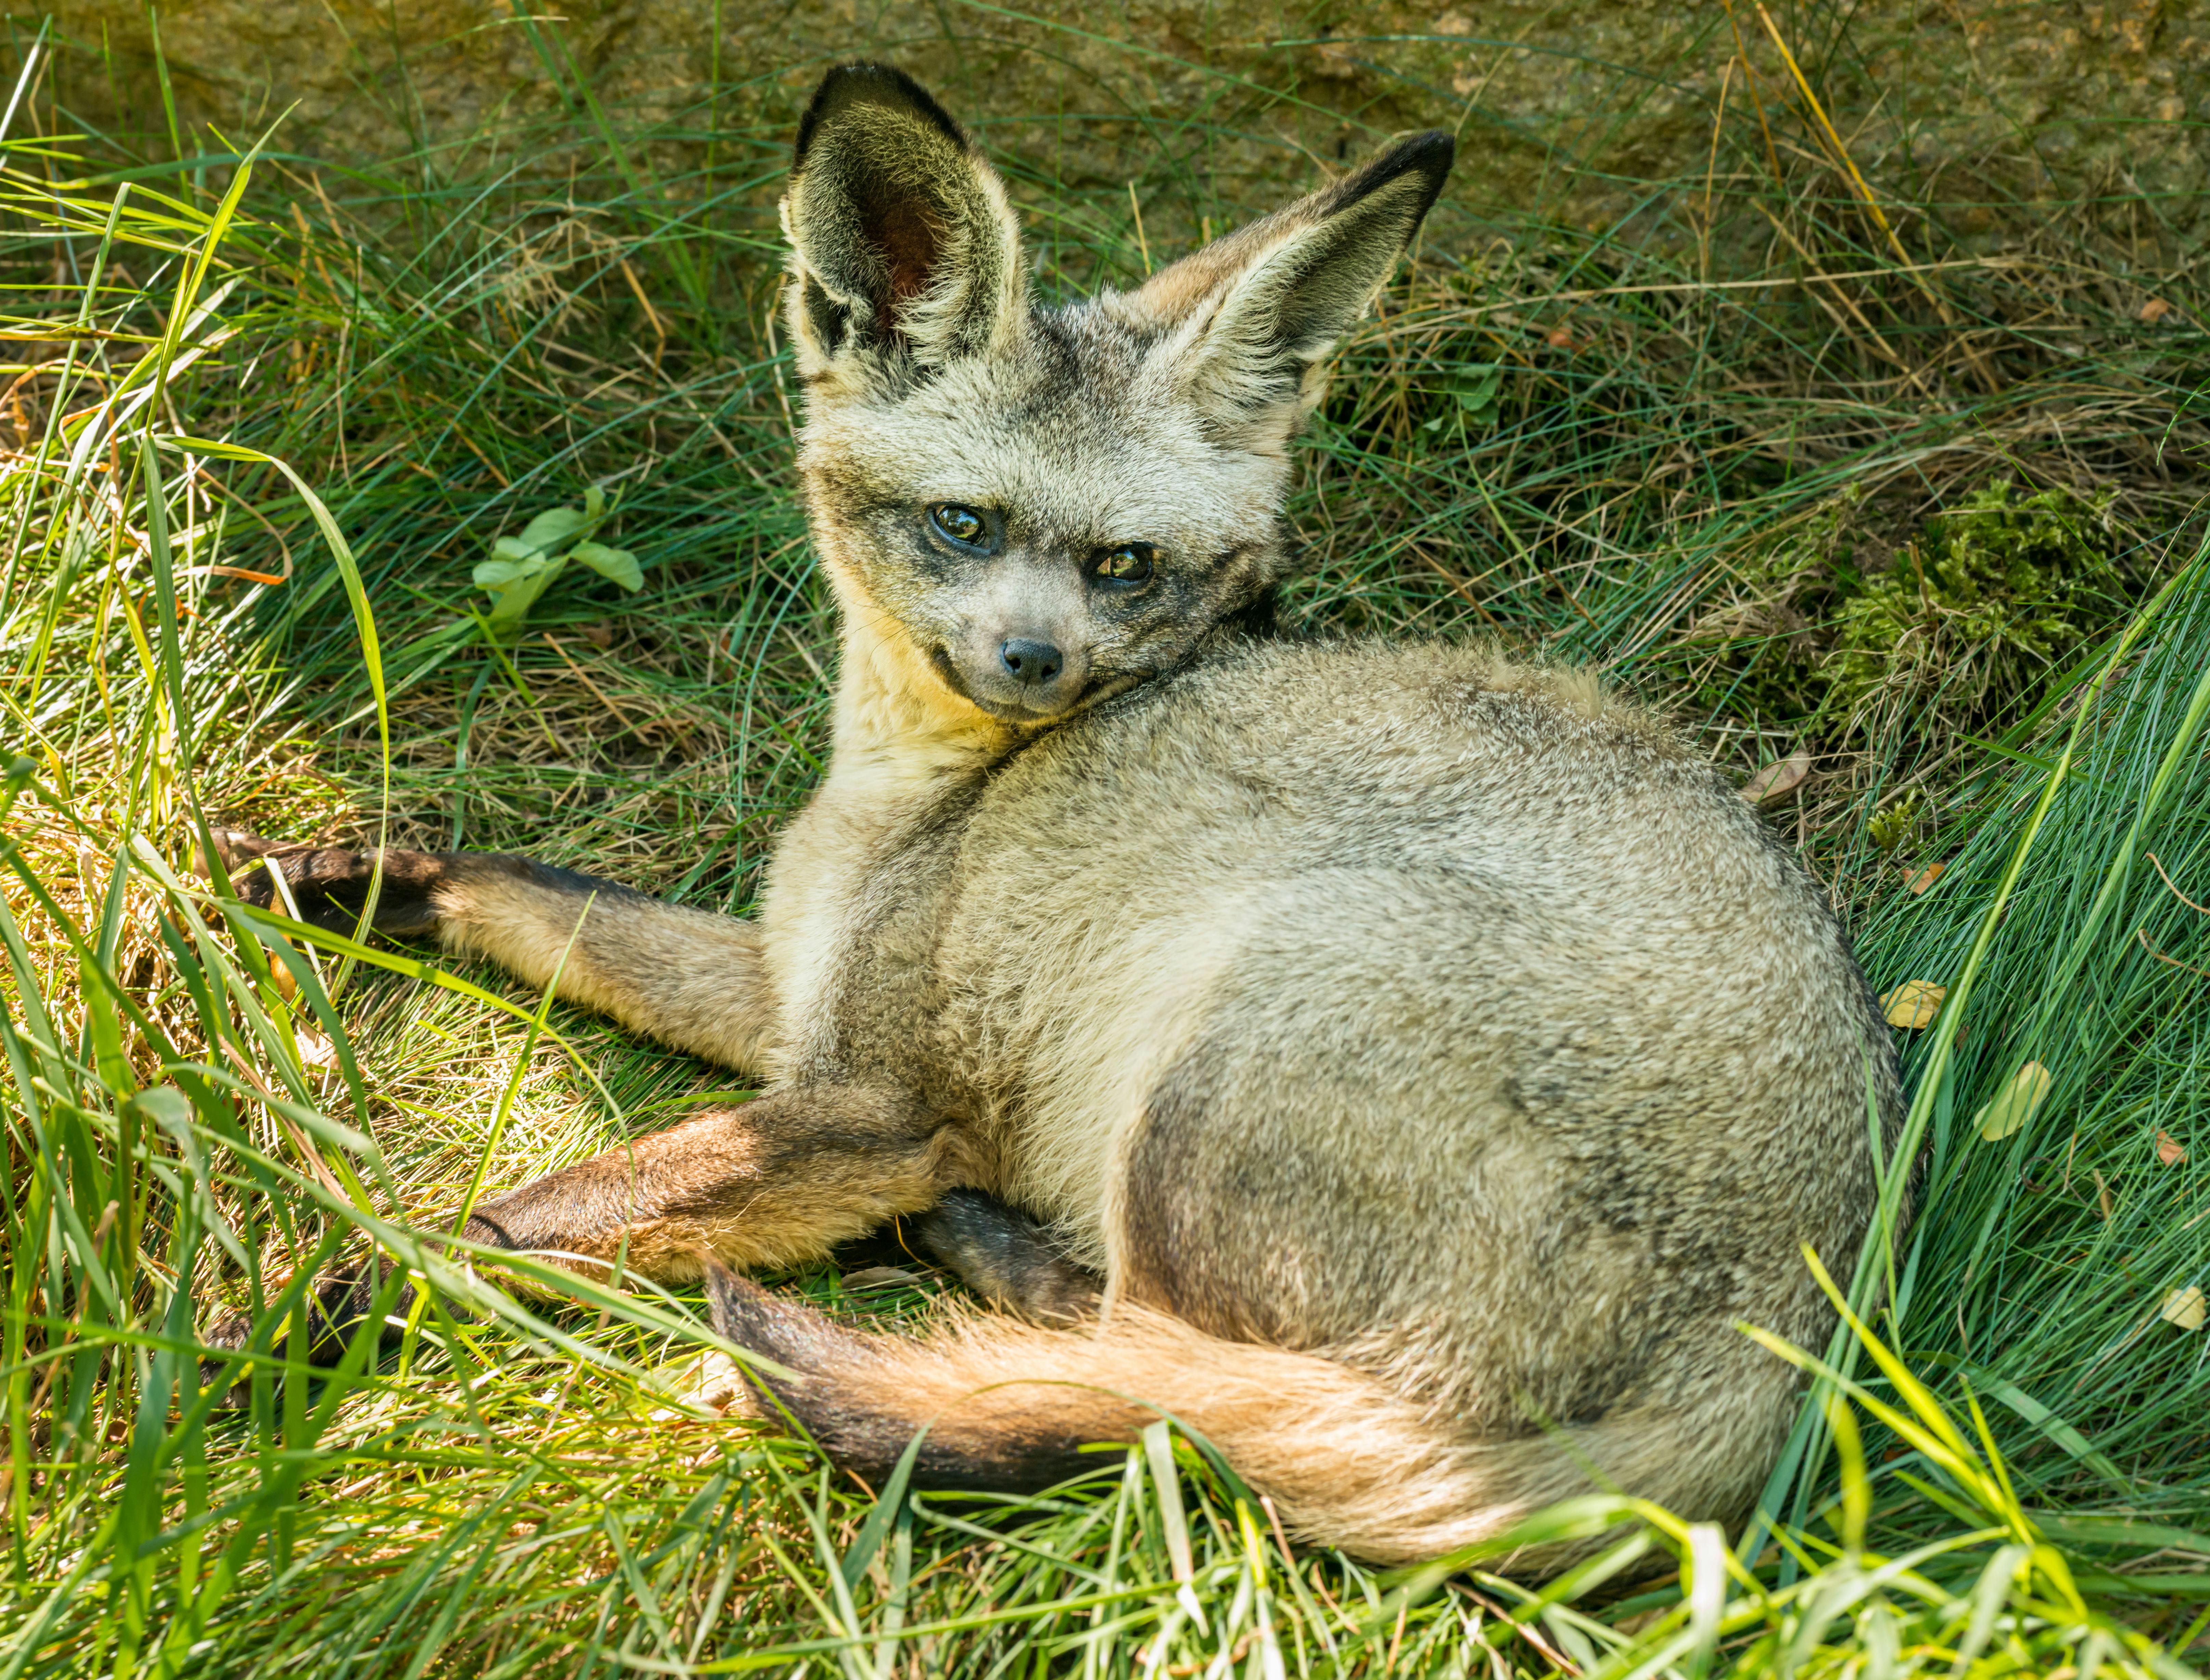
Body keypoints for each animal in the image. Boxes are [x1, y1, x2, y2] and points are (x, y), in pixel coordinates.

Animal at [200, 63, 1904, 1568]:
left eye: (1123, 565)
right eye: (965, 525)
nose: (1036, 663)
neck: (905, 799)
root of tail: (1805, 1322)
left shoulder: (873, 1101)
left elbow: (502, 1221)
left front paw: (299, 1313)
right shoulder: (795, 993)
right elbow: (539, 894)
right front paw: (328, 876)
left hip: (1235, 1040)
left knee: (1158, 1385)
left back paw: (968, 1263)